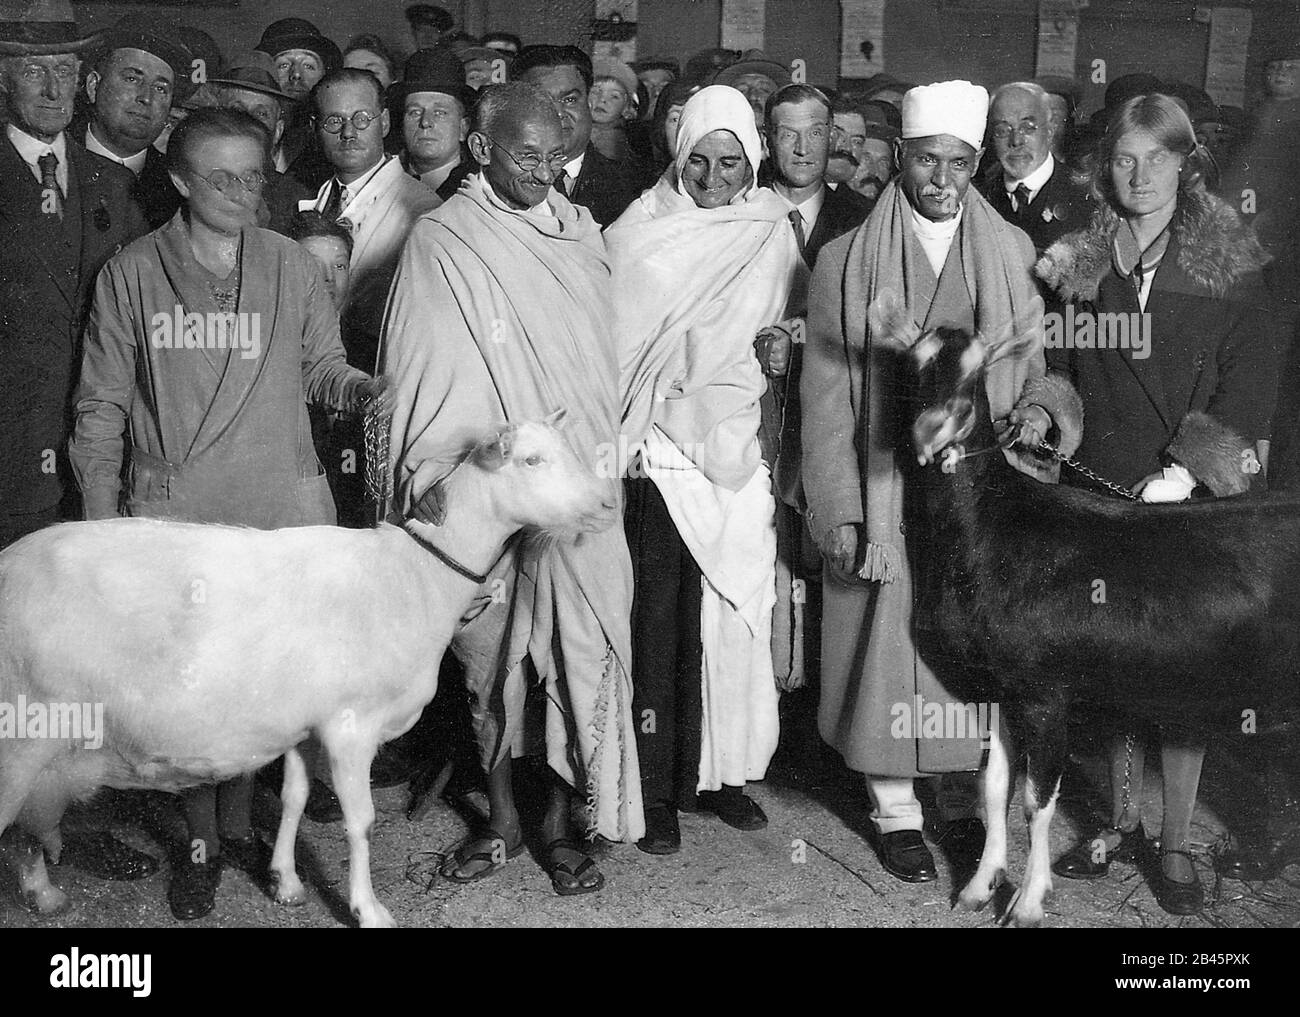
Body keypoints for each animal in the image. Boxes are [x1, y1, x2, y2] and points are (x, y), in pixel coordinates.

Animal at [0, 416, 613, 931]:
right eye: (532, 460)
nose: (607, 502)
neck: (412, 576)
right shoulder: (350, 726)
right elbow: (360, 820)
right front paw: (368, 909)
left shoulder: (303, 726)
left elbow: (294, 798)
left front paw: (286, 881)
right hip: (21, 734)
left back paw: (44, 895)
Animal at [889, 314, 1300, 925]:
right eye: (918, 358)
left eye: (977, 366)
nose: (932, 430)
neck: (987, 523)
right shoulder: (1002, 689)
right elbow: (995, 788)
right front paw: (979, 887)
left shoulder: (1046, 693)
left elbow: (1036, 802)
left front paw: (1028, 902)